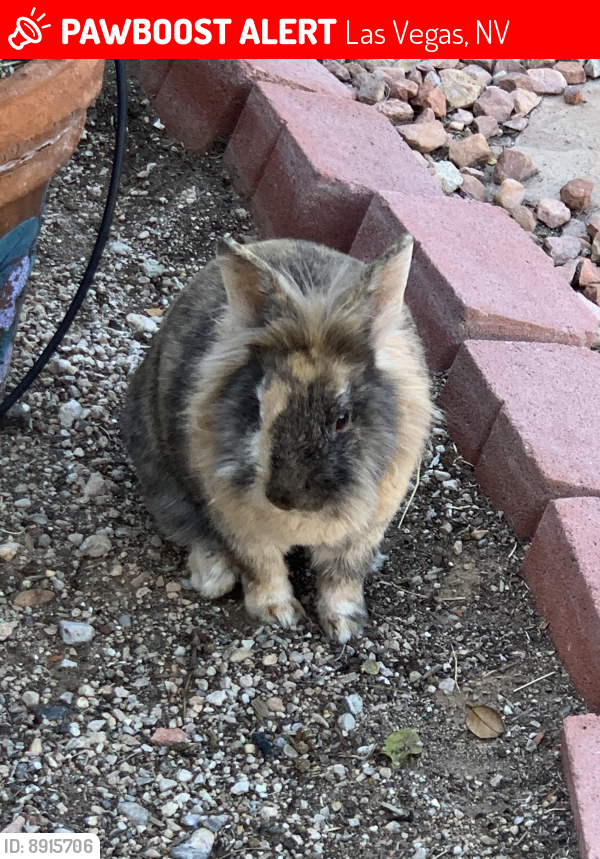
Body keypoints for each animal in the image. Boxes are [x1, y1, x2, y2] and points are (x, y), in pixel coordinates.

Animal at [121, 235, 433, 643]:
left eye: (342, 419)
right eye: (257, 407)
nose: (283, 496)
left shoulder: (362, 531)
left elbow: (342, 576)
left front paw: (344, 626)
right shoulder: (238, 523)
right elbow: (262, 567)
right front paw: (279, 614)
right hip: (160, 471)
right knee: (187, 527)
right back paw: (215, 577)